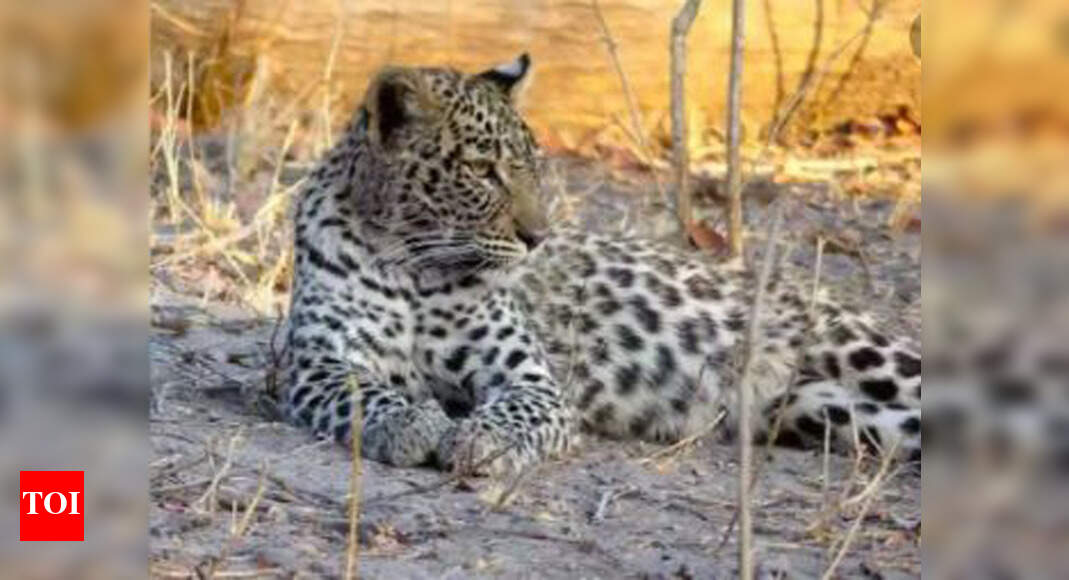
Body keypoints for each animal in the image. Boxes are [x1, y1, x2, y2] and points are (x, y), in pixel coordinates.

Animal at [283, 54, 921, 477]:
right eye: (482, 171)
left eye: (533, 166)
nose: (538, 237)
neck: (416, 270)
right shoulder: (314, 361)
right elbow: (362, 392)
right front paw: (412, 424)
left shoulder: (531, 379)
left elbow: (513, 412)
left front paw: (478, 442)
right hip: (831, 412)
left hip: (866, 356)